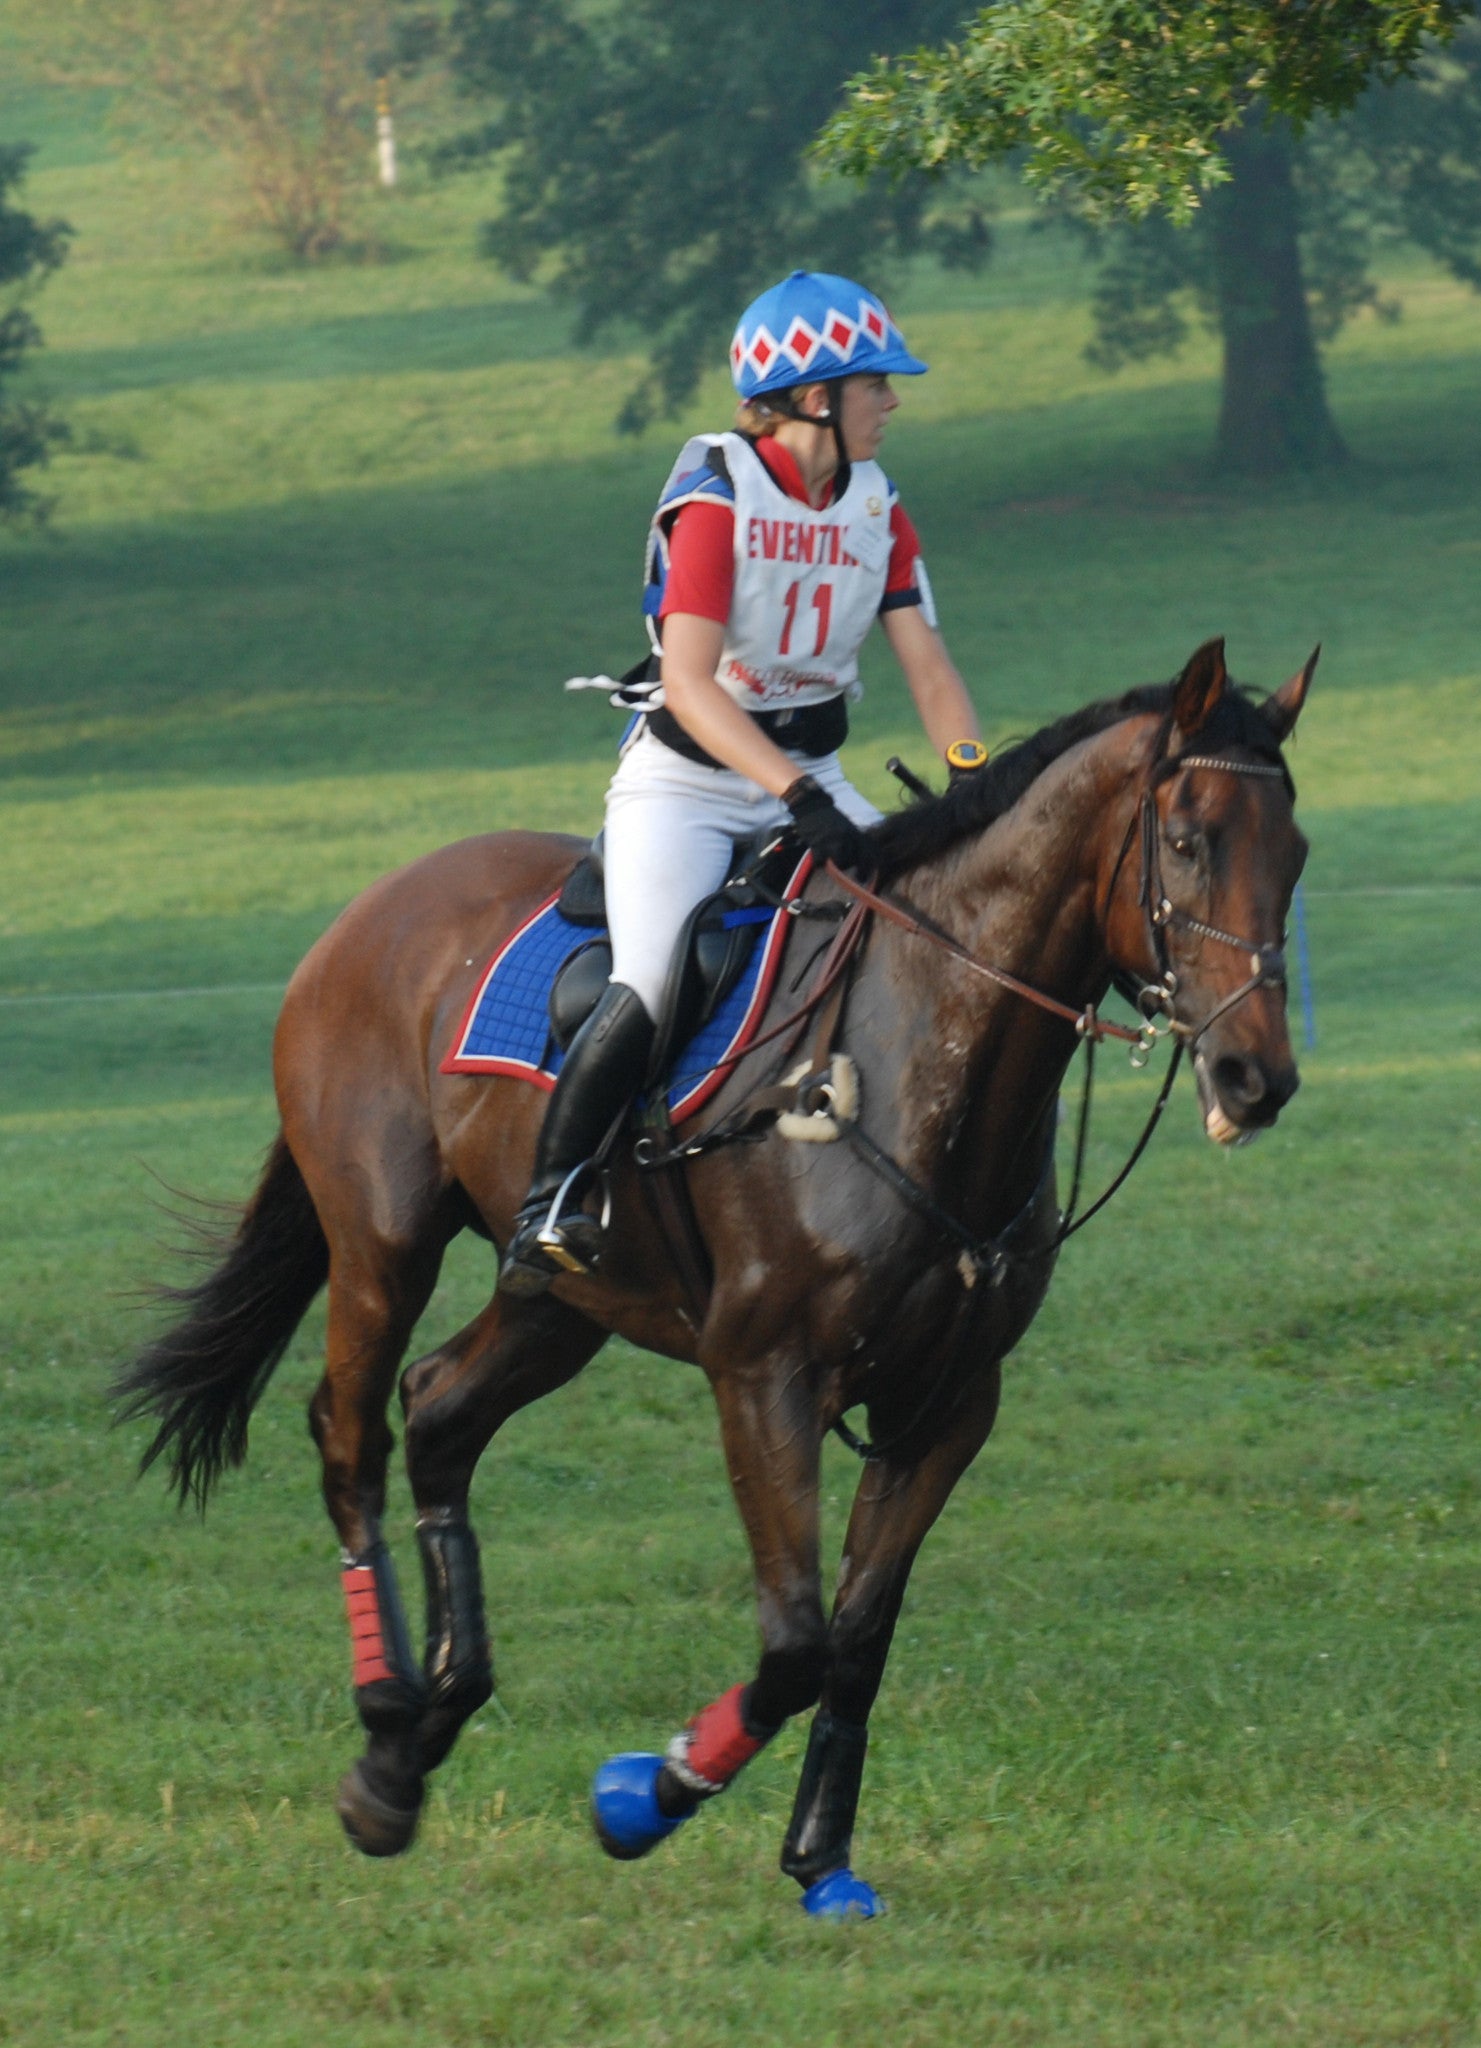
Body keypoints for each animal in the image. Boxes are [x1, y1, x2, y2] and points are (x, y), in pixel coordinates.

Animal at [117, 636, 1313, 1916]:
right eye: (1185, 839)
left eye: (1293, 850)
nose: (1254, 1078)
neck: (917, 1055)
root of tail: (373, 905)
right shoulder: (761, 1374)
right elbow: (794, 1641)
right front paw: (643, 1796)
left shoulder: (944, 1403)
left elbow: (857, 1639)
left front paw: (819, 1859)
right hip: (382, 1241)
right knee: (351, 1432)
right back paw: (389, 1723)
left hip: (562, 1300)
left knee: (438, 1410)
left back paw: (425, 1727)